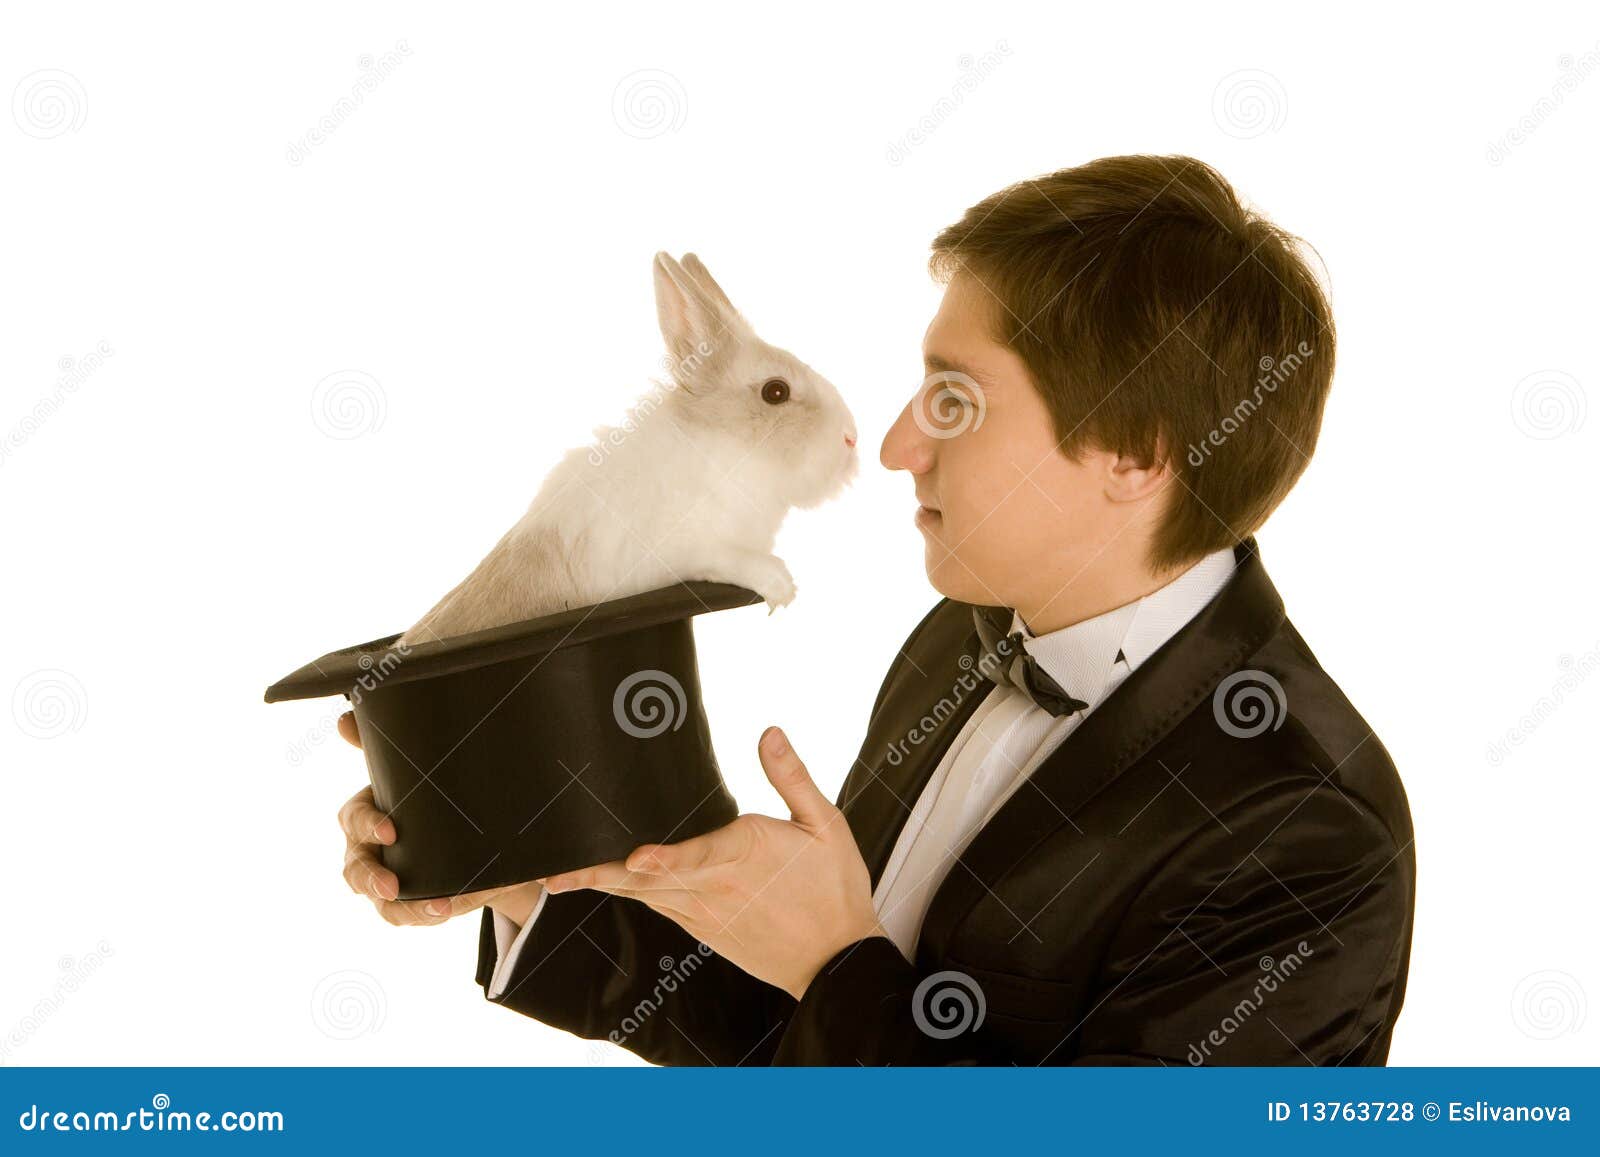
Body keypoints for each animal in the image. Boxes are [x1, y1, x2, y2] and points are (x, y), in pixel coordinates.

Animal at [397, 252, 859, 647]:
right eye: (775, 392)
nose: (852, 439)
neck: (727, 449)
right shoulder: (686, 553)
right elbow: (727, 561)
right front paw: (780, 585)